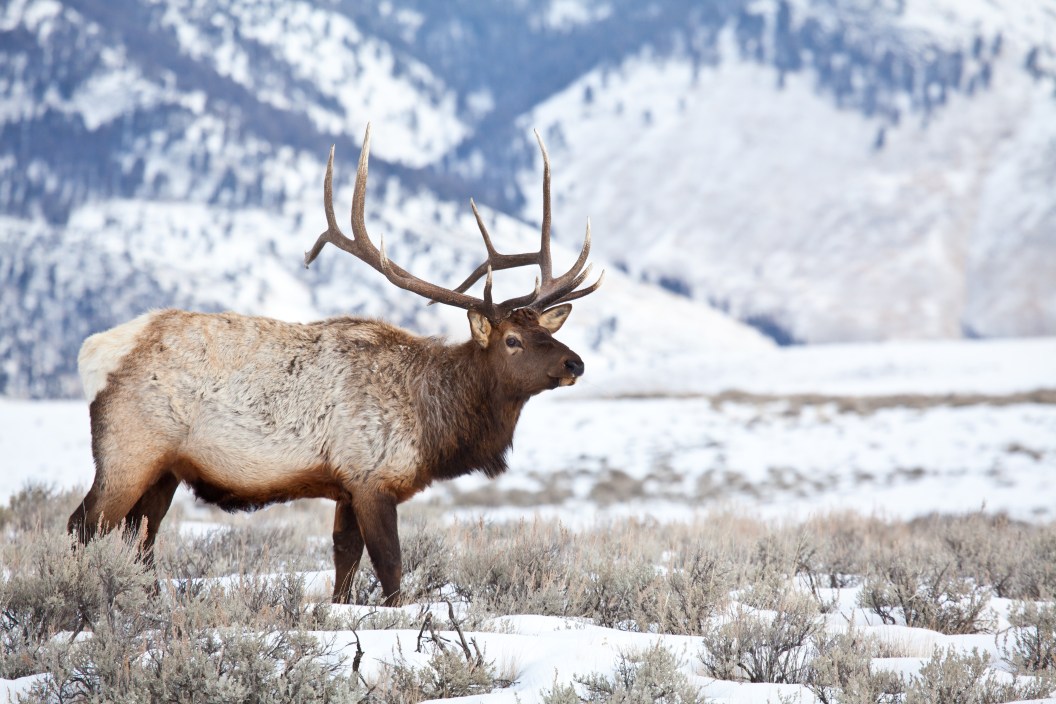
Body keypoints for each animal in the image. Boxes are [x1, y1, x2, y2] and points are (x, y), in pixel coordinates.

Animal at [68, 125, 603, 606]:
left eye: (546, 331)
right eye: (512, 340)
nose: (575, 362)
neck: (433, 425)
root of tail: (94, 352)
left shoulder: (345, 487)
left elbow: (344, 561)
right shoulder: (370, 476)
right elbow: (390, 567)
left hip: (167, 467)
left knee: (140, 536)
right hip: (128, 448)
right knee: (85, 524)